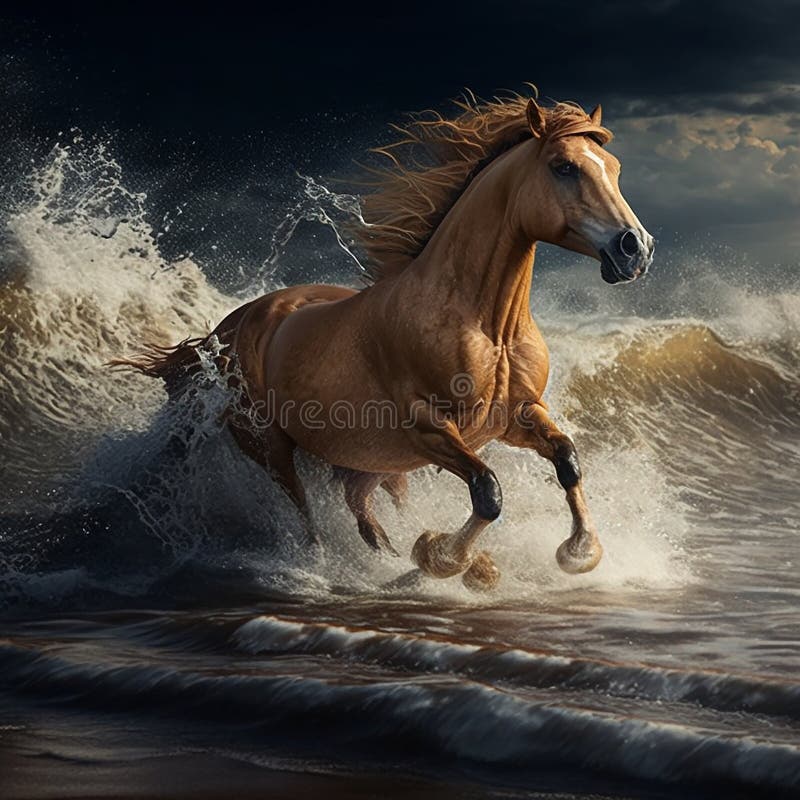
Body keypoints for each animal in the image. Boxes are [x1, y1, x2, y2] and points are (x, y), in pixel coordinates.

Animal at [114, 90, 654, 591]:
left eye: (614, 168)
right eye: (564, 167)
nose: (636, 249)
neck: (486, 325)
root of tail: (228, 328)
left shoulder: (516, 415)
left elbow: (567, 461)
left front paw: (577, 553)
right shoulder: (428, 429)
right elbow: (488, 492)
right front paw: (445, 557)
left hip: (372, 464)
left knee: (365, 514)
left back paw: (396, 567)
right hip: (273, 448)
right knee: (307, 518)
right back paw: (332, 568)